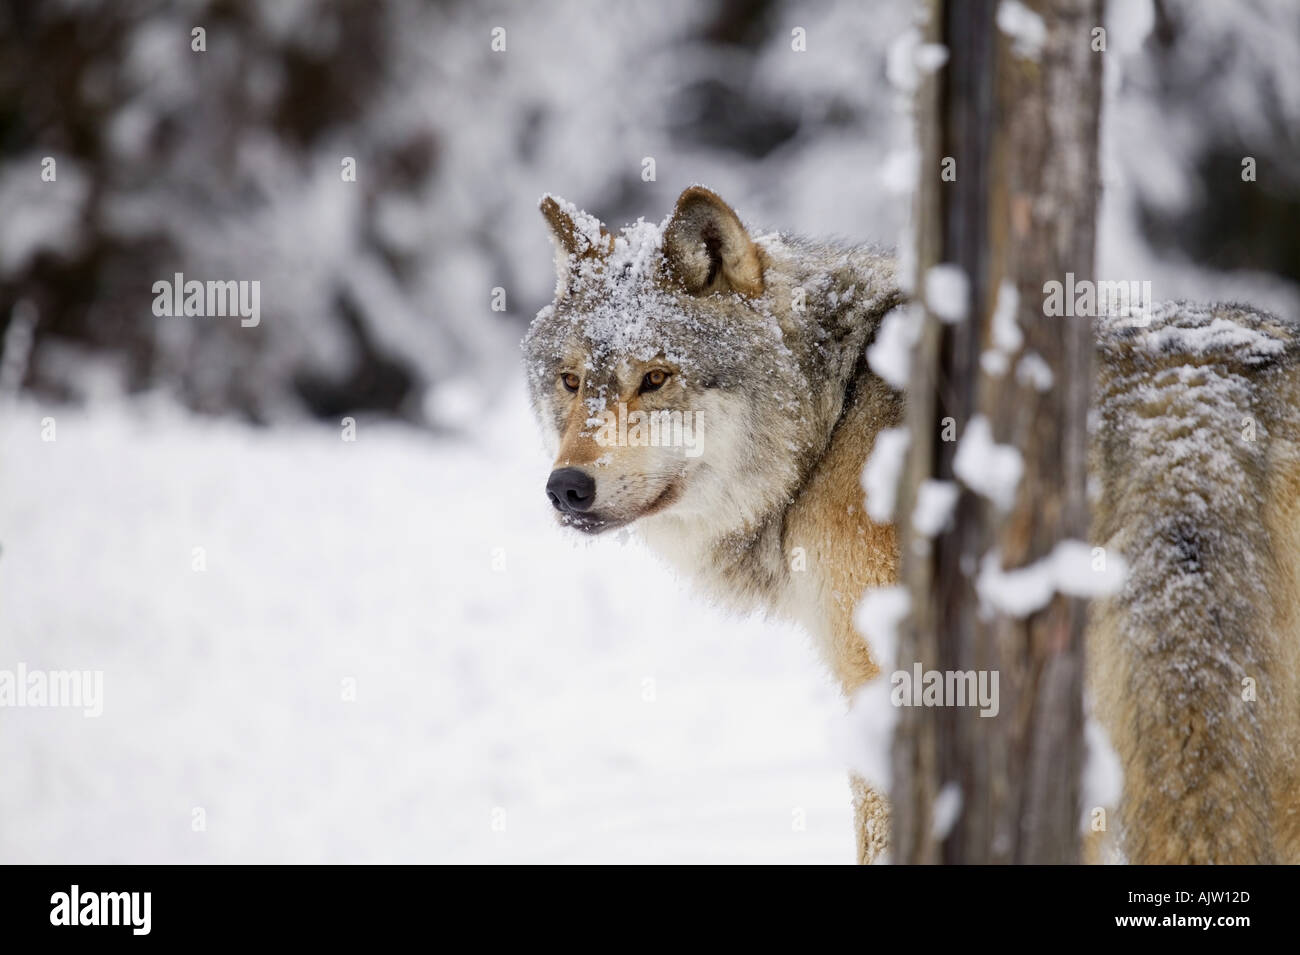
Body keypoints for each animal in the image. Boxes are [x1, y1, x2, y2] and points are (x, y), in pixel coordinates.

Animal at [522, 185, 1300, 864]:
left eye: (655, 378)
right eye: (571, 381)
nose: (566, 489)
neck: (832, 416)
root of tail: (1191, 398)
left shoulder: (892, 694)